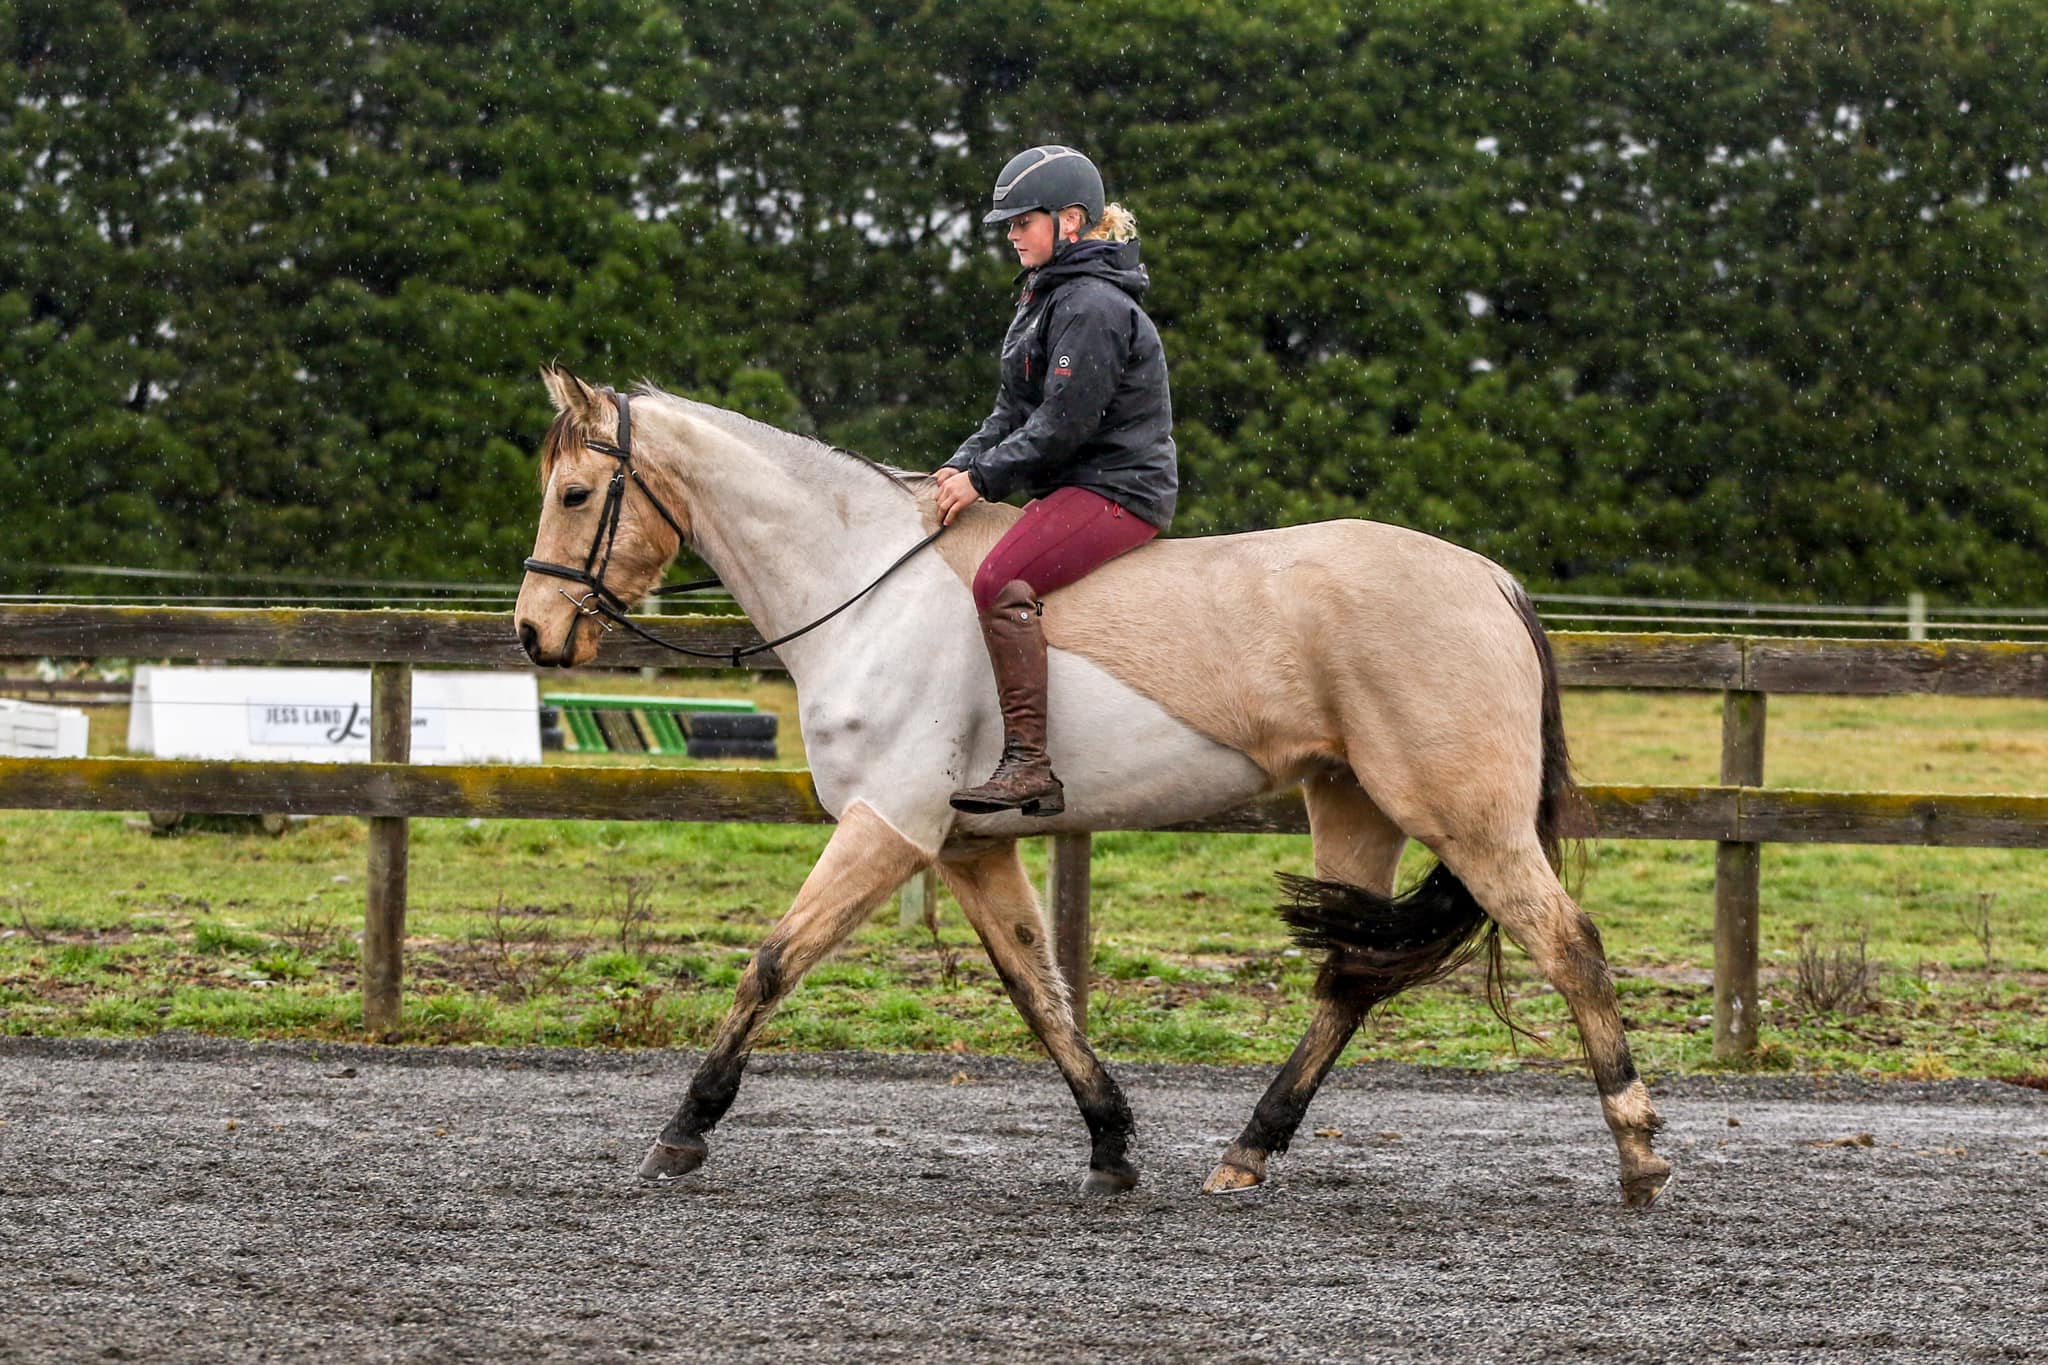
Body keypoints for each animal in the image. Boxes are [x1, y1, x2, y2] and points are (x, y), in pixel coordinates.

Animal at [513, 366, 1672, 1206]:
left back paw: (1638, 1152)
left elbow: (771, 963)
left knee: (1567, 944)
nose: (532, 632)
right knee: (1346, 980)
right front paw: (1110, 1144)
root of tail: (1490, 579)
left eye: (575, 493)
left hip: (1464, 817)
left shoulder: (889, 825)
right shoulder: (968, 844)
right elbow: (1038, 990)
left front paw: (681, 1132)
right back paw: (1246, 1153)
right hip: (1352, 806)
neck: (863, 591)